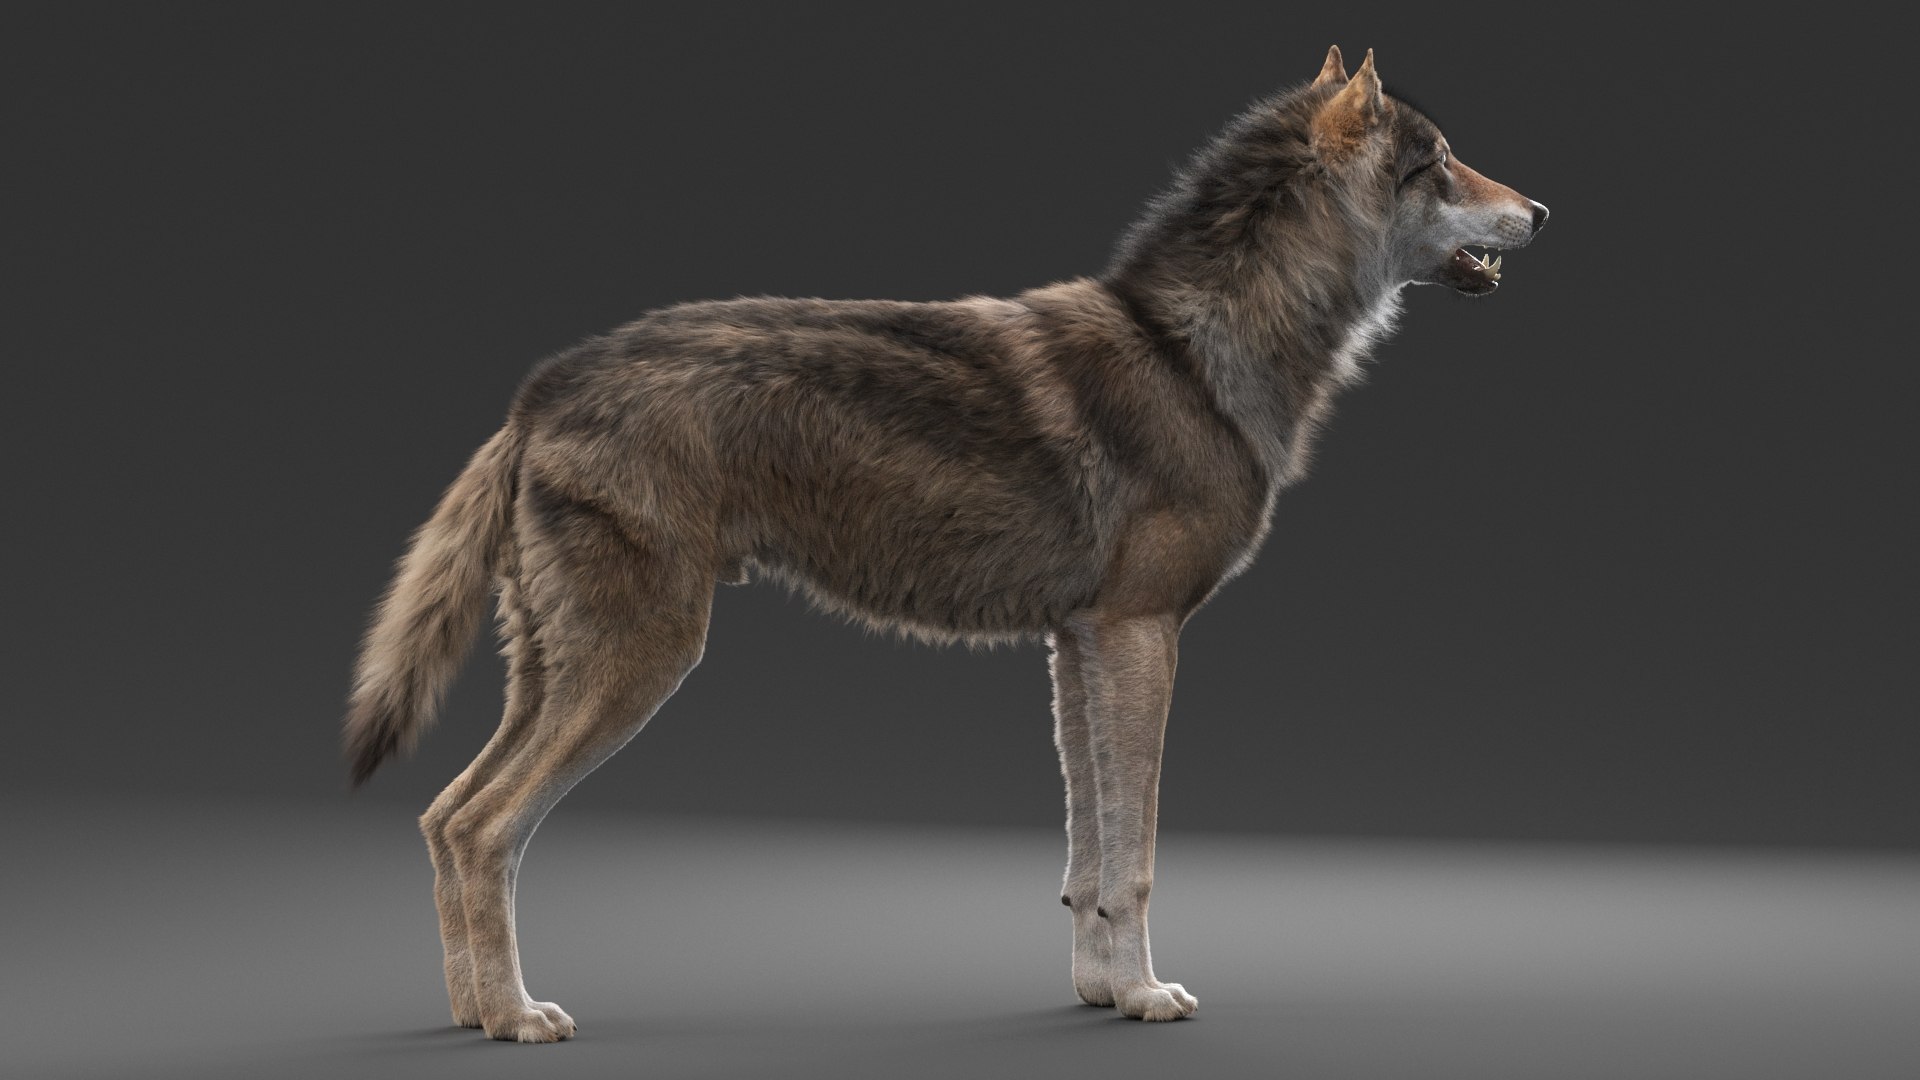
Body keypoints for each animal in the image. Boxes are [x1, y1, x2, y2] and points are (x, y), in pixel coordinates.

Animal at [343, 46, 1548, 1041]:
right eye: (1442, 163)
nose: (1540, 208)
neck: (1196, 352)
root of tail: (540, 390)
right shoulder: (1140, 637)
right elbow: (1137, 856)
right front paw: (1147, 996)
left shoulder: (1078, 648)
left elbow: (1087, 854)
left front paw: (1100, 991)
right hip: (637, 666)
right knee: (486, 827)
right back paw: (516, 1019)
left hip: (564, 671)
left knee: (445, 818)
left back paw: (470, 1014)